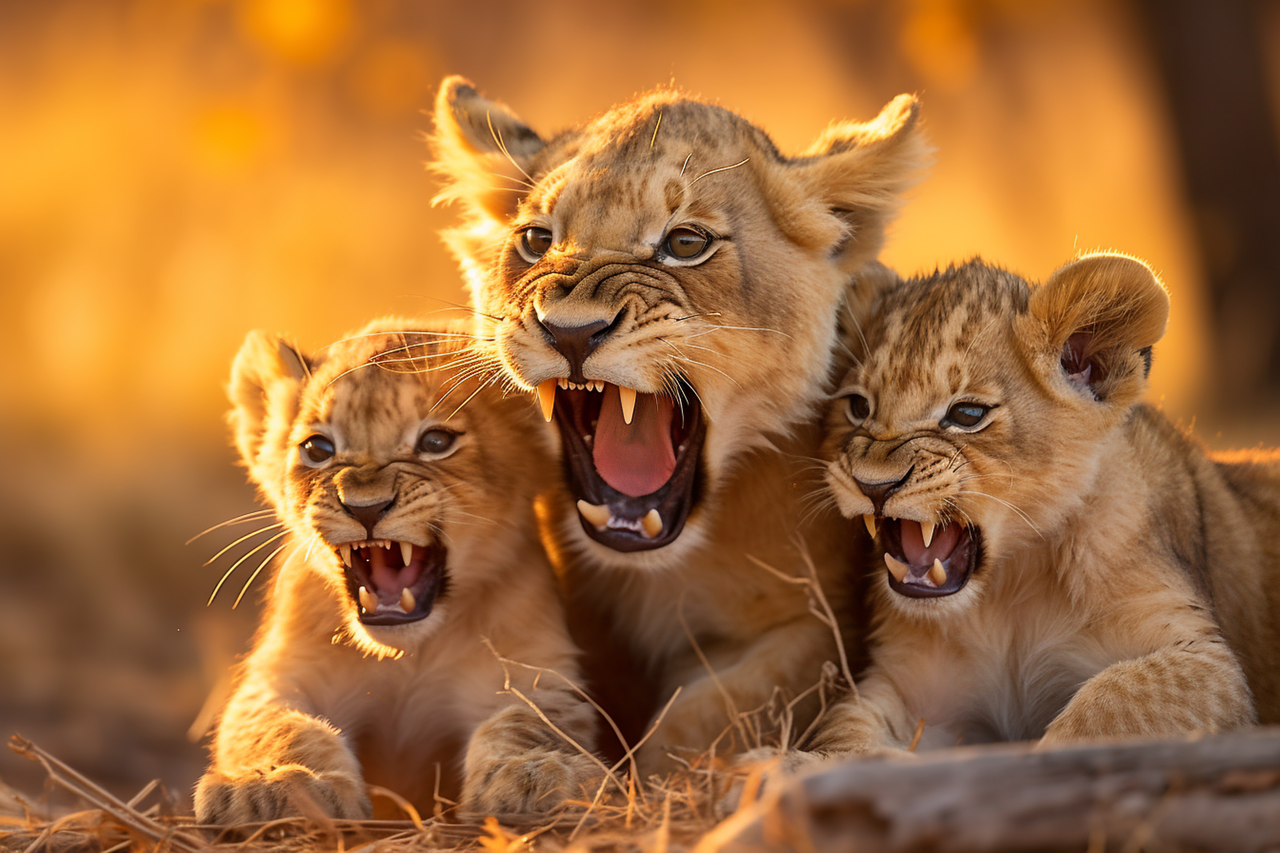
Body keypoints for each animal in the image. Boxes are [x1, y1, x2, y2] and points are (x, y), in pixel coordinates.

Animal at [195, 319, 599, 824]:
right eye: (317, 448)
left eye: (436, 443)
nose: (365, 507)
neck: (410, 654)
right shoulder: (279, 675)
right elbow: (278, 726)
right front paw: (275, 784)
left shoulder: (536, 670)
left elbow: (529, 721)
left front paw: (534, 774)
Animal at [429, 78, 930, 773]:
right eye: (535, 240)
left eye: (686, 243)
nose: (571, 332)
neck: (663, 570)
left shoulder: (823, 624)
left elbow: (711, 710)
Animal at [793, 253, 1280, 763]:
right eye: (857, 407)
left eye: (967, 415)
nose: (874, 485)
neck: (1011, 587)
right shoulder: (915, 690)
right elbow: (844, 727)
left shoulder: (1206, 659)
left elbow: (1112, 700)